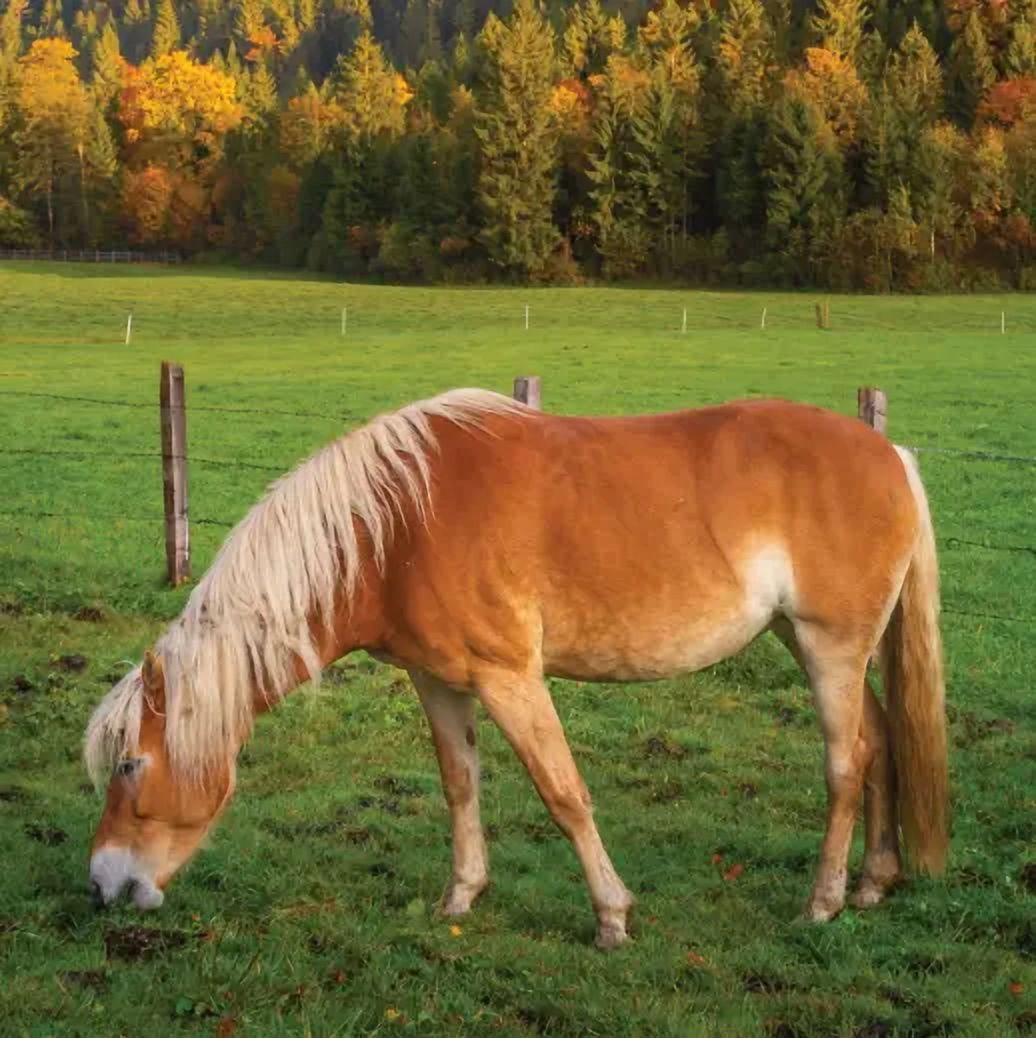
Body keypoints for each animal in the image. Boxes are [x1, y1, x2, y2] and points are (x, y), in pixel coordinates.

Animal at [84, 388, 948, 949]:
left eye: (132, 765)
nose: (102, 885)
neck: (394, 525)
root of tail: (892, 456)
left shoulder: (509, 678)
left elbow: (562, 793)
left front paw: (611, 917)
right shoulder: (439, 681)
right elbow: (460, 784)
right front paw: (460, 896)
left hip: (830, 647)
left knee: (846, 762)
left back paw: (823, 903)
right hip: (812, 644)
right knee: (880, 742)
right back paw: (874, 882)